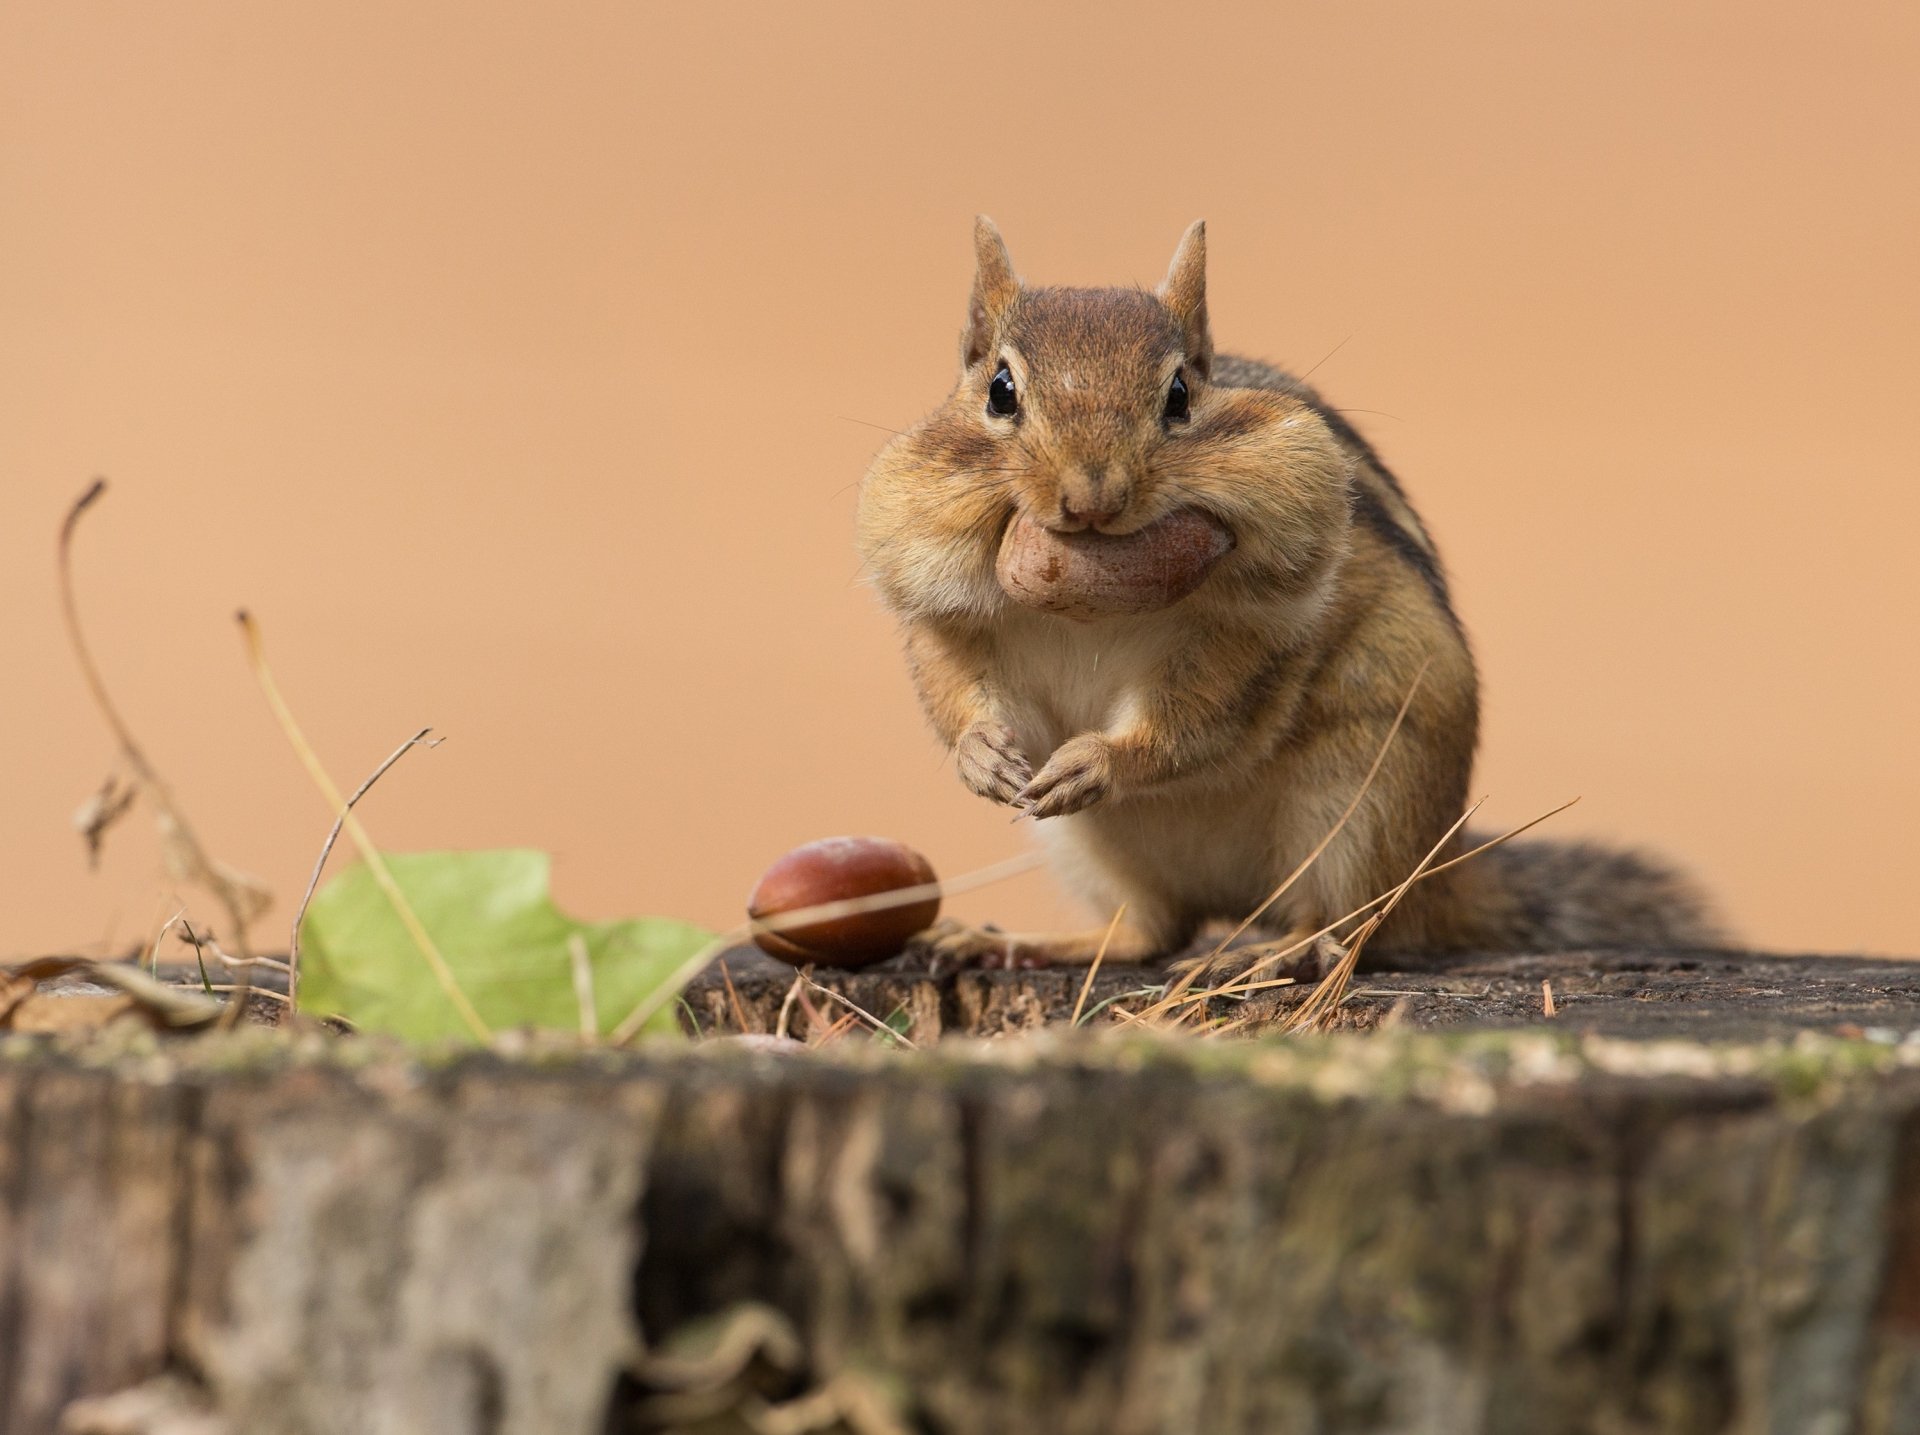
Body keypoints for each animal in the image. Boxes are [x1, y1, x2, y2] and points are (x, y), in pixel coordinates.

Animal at [856, 218, 1723, 969]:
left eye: (1180, 395)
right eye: (1001, 390)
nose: (1091, 496)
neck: (1091, 607)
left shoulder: (1247, 636)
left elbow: (1195, 720)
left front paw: (1101, 759)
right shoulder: (946, 620)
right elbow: (958, 693)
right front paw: (982, 756)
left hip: (1362, 796)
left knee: (1349, 924)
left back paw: (1275, 950)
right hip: (1092, 850)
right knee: (1150, 930)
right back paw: (1022, 942)